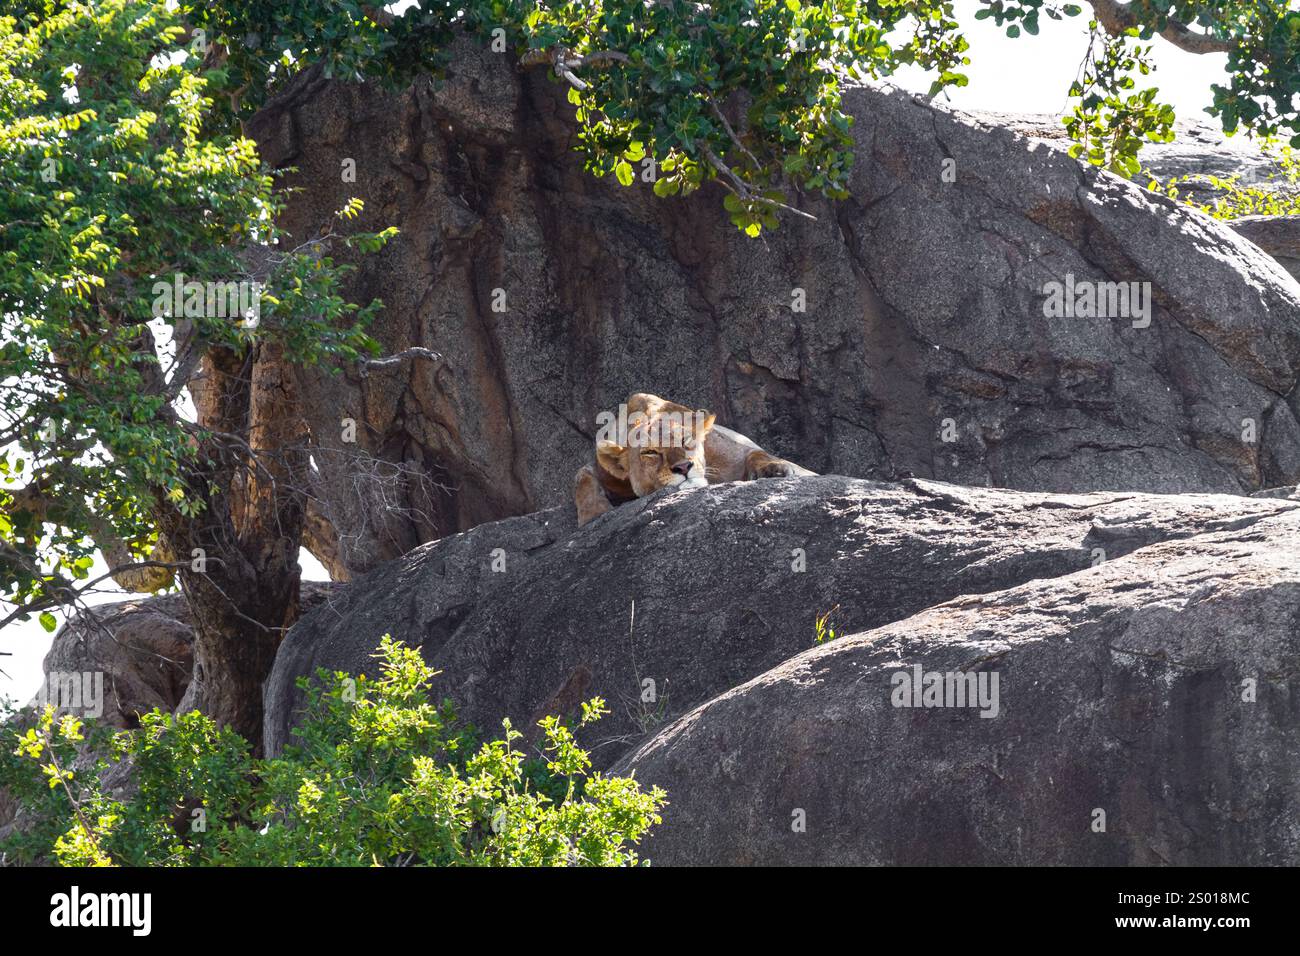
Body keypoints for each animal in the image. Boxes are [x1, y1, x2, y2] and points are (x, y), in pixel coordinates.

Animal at [573, 392, 816, 525]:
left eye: (686, 440)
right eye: (650, 453)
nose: (683, 467)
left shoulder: (734, 451)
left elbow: (756, 454)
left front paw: (775, 469)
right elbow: (581, 476)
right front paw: (594, 514)